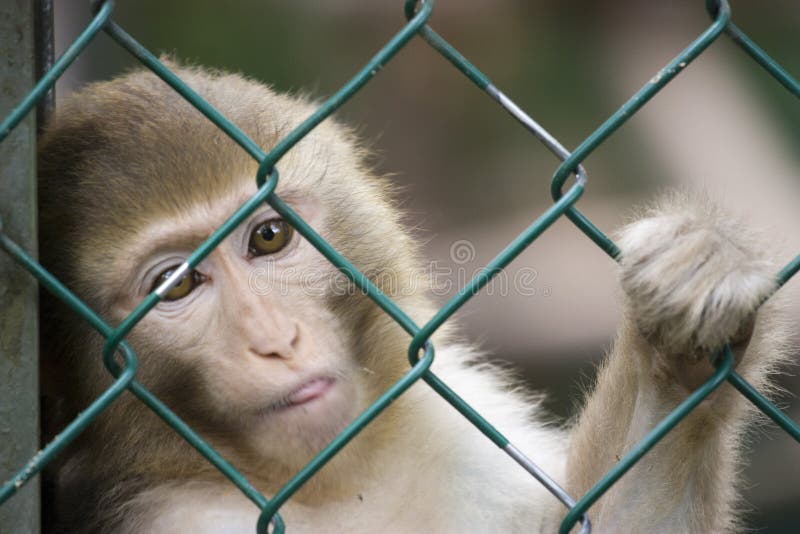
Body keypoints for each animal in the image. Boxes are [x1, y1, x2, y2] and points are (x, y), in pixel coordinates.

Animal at [35, 63, 789, 533]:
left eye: (269, 236)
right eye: (177, 285)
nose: (276, 340)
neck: (332, 481)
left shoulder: (461, 436)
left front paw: (688, 308)